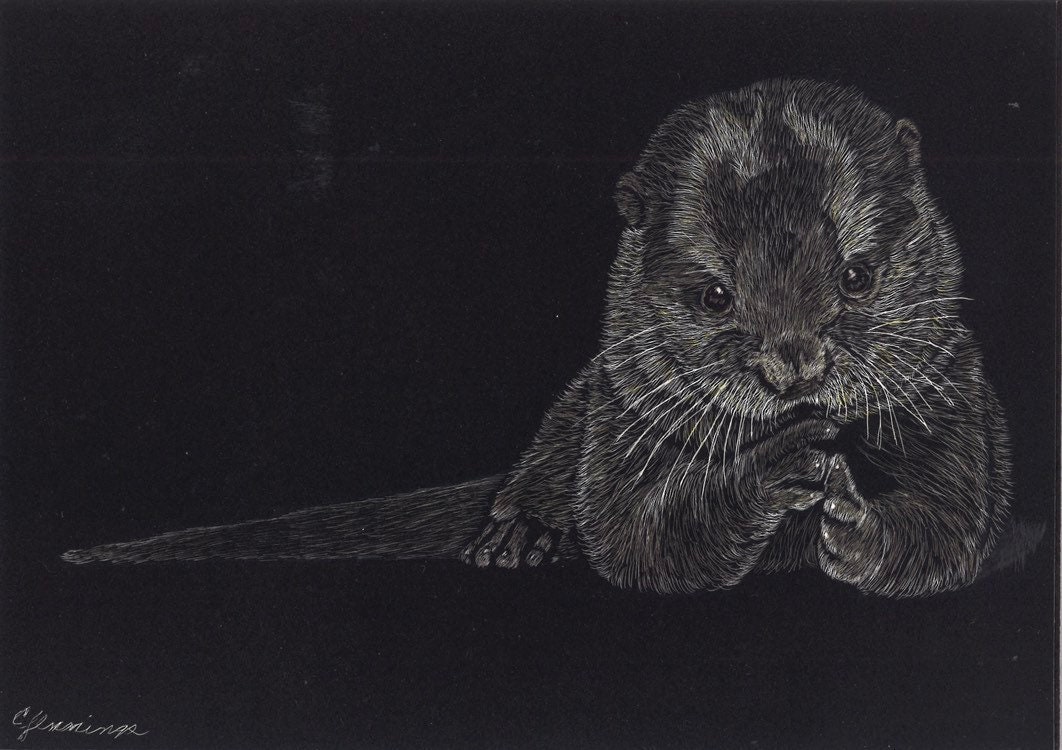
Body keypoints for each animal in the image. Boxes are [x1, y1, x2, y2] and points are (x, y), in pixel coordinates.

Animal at [63, 78, 1027, 598]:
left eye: (857, 276)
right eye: (715, 295)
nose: (795, 365)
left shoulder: (953, 402)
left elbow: (950, 526)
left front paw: (857, 528)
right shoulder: (624, 426)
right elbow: (640, 536)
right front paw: (781, 466)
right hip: (584, 404)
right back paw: (515, 535)